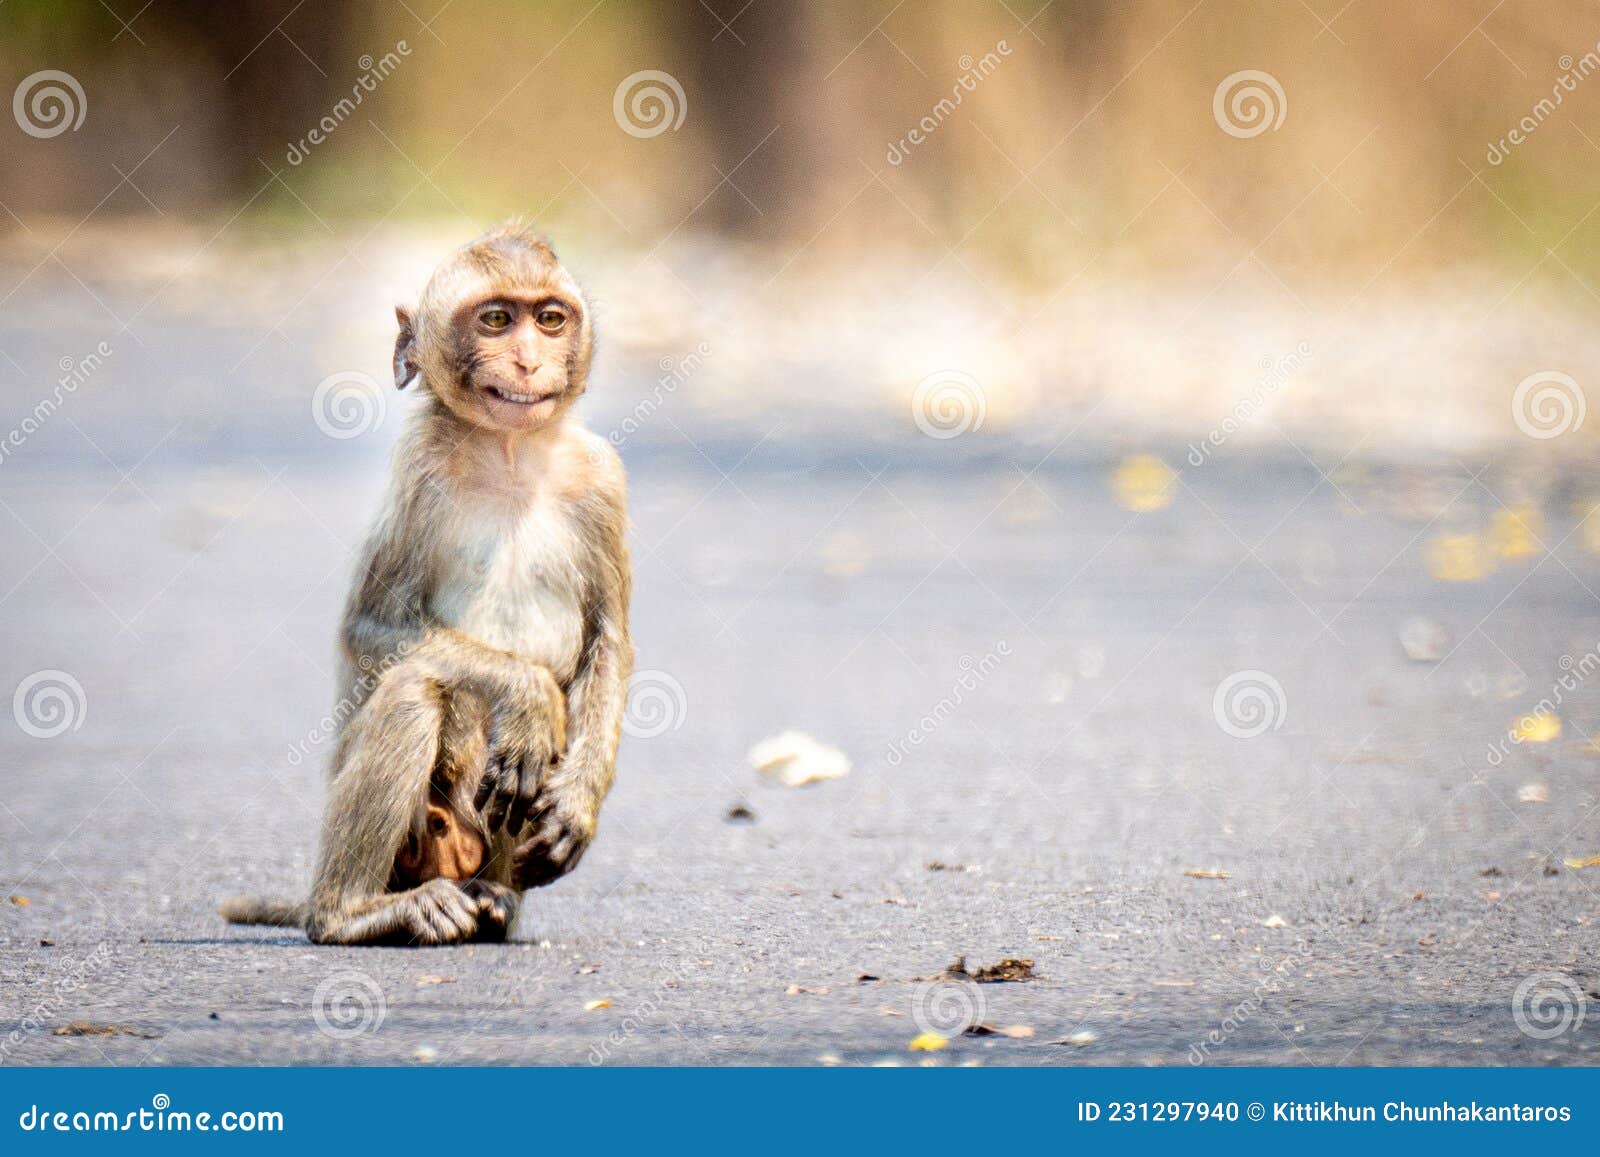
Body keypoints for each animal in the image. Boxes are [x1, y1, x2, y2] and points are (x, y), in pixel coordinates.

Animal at [221, 223, 633, 945]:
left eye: (549, 320)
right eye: (496, 320)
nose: (529, 361)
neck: (509, 454)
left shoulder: (603, 478)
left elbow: (604, 645)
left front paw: (577, 806)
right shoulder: (419, 468)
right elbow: (371, 628)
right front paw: (527, 694)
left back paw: (492, 901)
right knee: (414, 692)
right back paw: (351, 912)